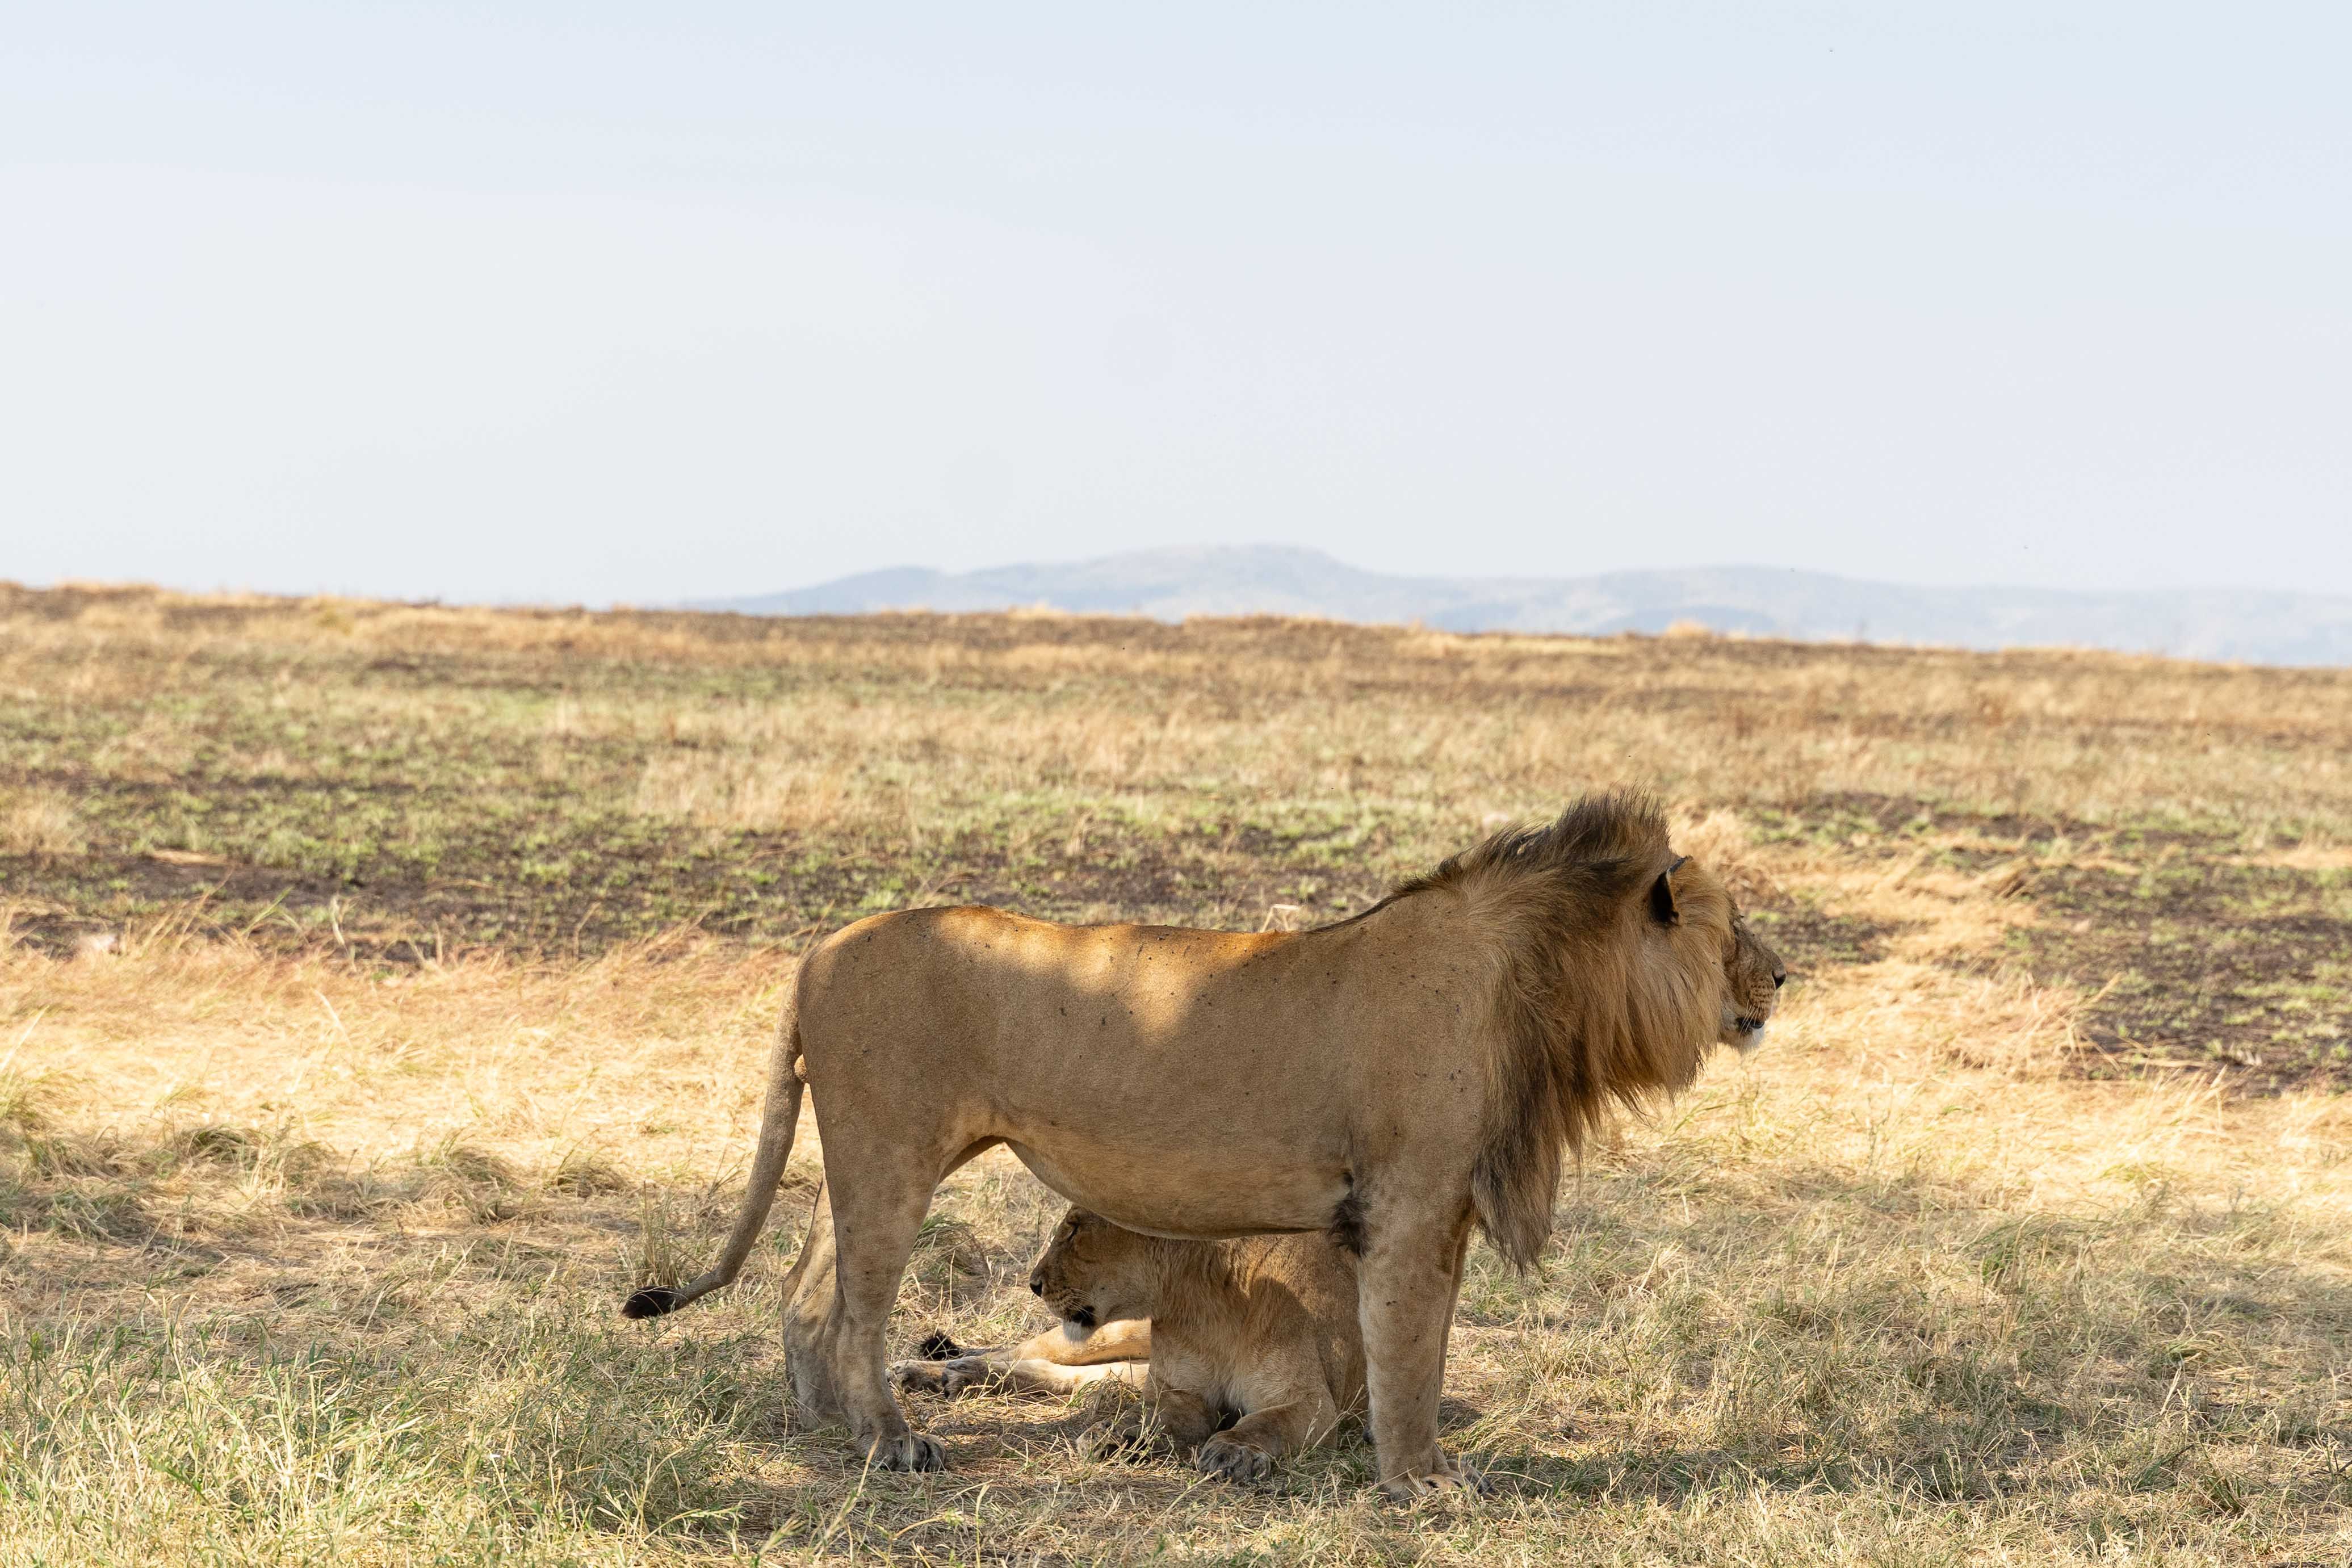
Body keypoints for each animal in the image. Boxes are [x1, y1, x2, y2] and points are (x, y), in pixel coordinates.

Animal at [623, 793, 1785, 1501]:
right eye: (1732, 924)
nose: (1783, 975)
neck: (1542, 989)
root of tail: (818, 947)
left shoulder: (1442, 1207)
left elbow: (1425, 1346)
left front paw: (1397, 1459)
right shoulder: (1408, 1200)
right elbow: (1407, 1348)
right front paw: (1420, 1480)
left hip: (864, 1155)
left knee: (804, 1291)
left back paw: (824, 1425)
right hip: (890, 1151)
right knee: (855, 1307)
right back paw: (891, 1439)